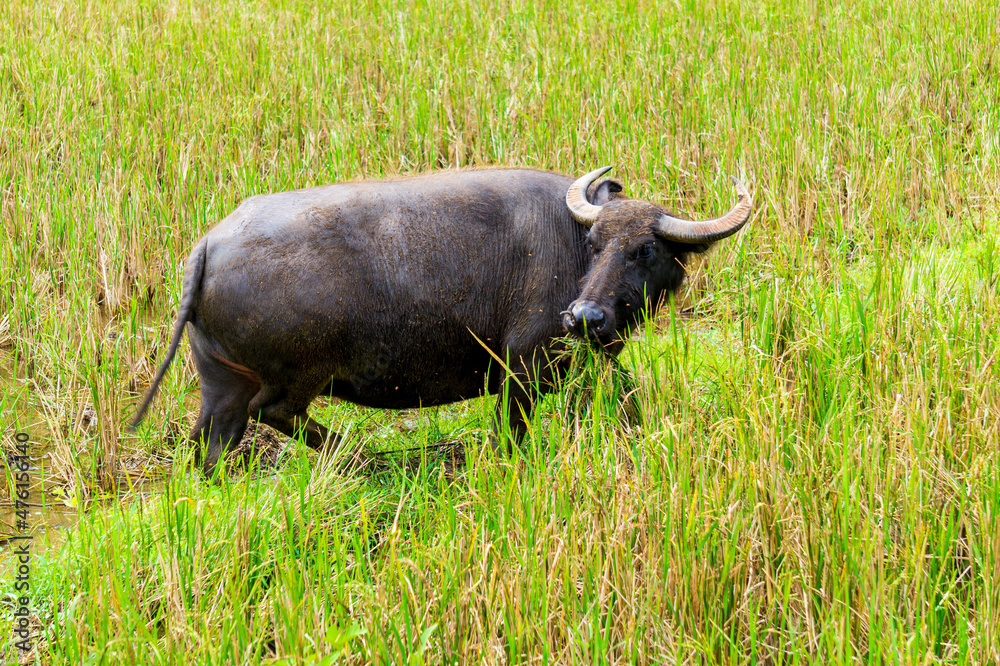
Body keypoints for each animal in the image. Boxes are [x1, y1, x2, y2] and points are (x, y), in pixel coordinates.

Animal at [132, 167, 751, 475]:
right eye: (596, 243)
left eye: (644, 250)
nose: (583, 317)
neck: (569, 250)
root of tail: (209, 244)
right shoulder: (520, 371)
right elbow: (511, 433)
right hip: (295, 375)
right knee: (276, 413)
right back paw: (355, 455)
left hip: (219, 383)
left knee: (211, 441)